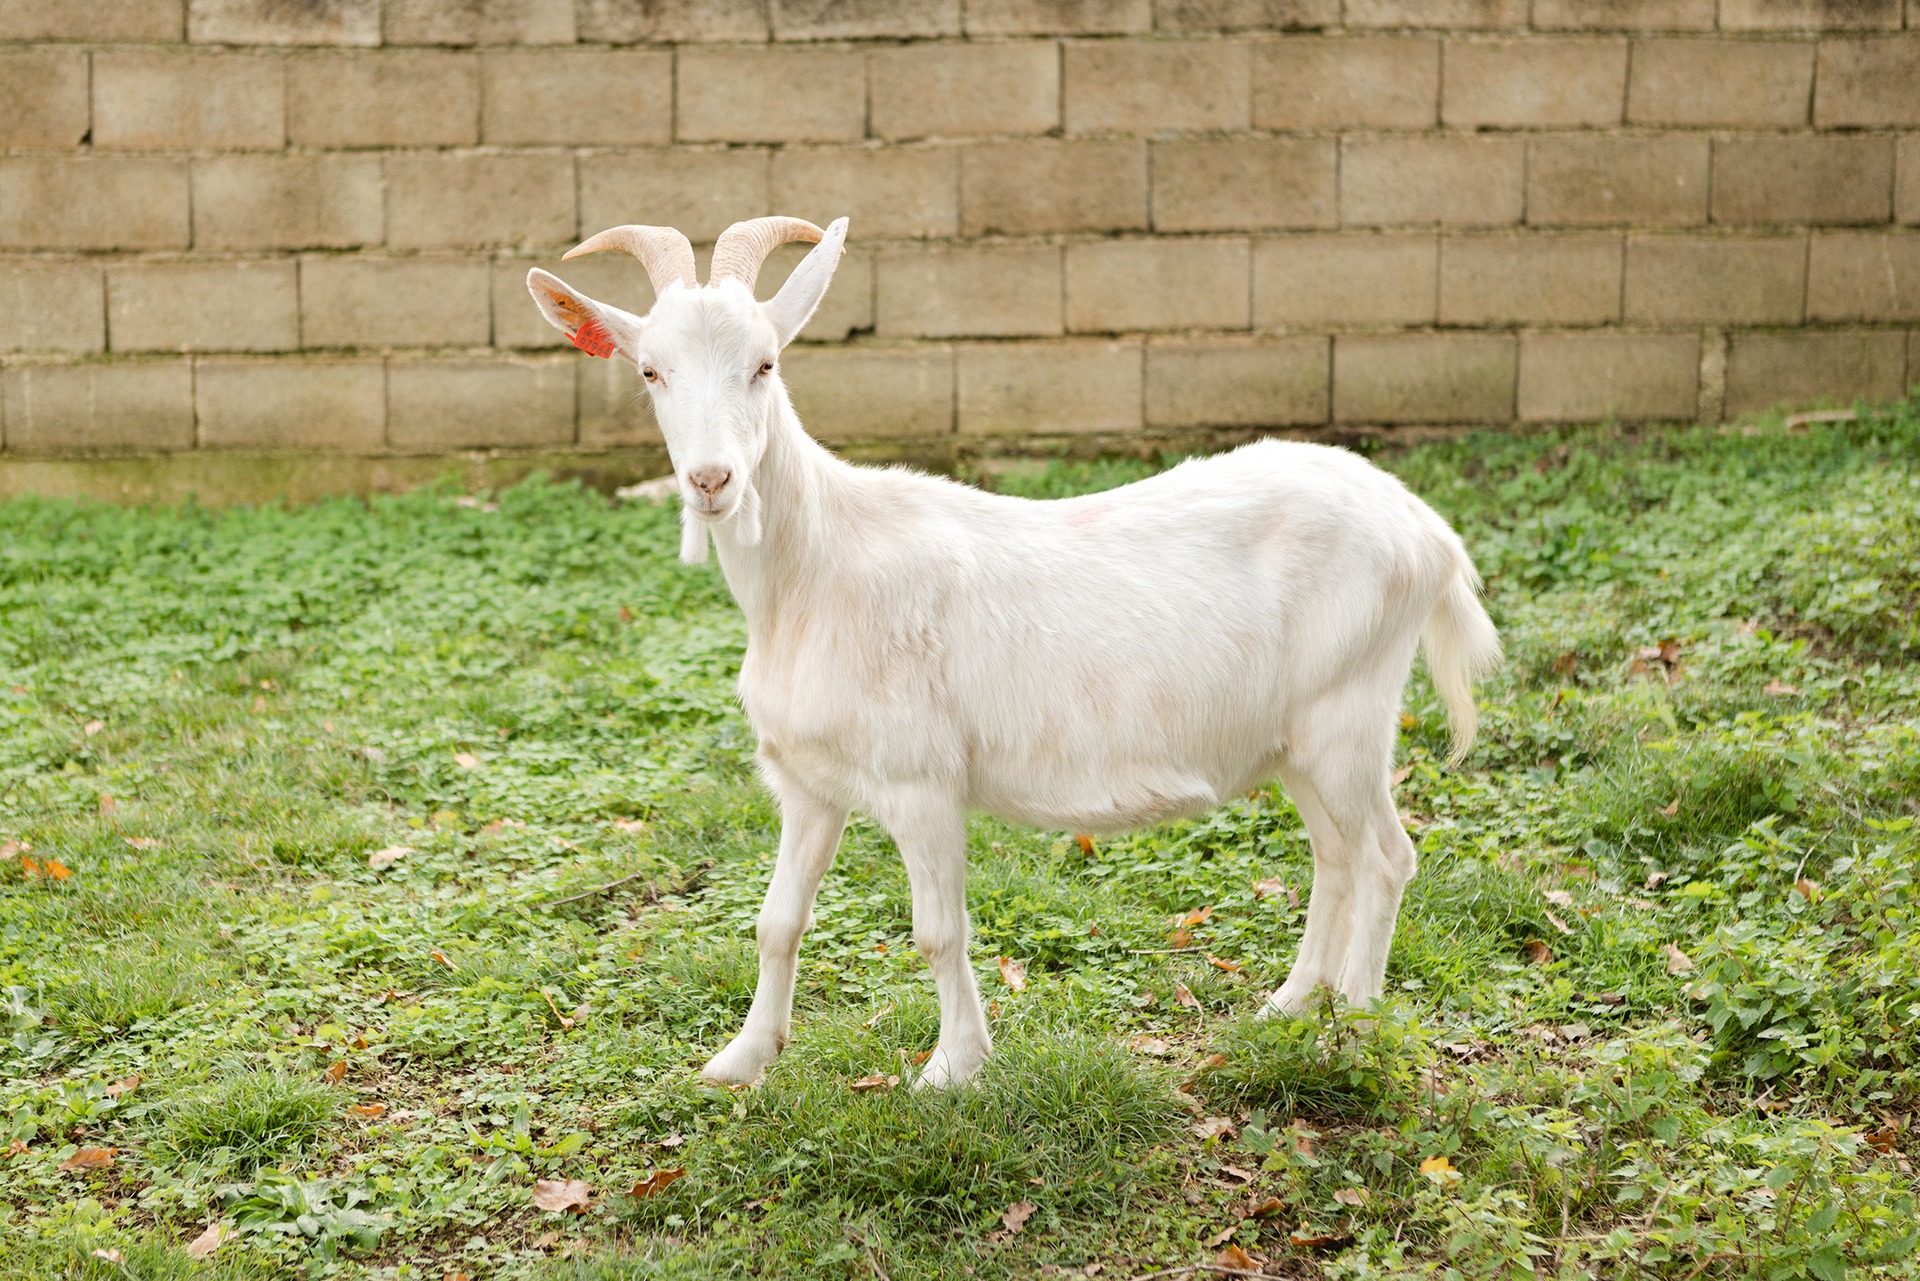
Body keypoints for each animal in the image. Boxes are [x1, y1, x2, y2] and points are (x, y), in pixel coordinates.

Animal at [527, 216, 1502, 1089]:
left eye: (765, 364)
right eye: (651, 370)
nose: (712, 480)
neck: (817, 572)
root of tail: (1425, 528)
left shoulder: (921, 780)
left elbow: (938, 931)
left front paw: (952, 1068)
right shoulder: (806, 782)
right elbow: (777, 920)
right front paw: (740, 1060)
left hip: (1352, 709)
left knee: (1386, 856)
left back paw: (1361, 1022)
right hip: (1295, 736)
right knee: (1334, 855)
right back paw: (1292, 1005)